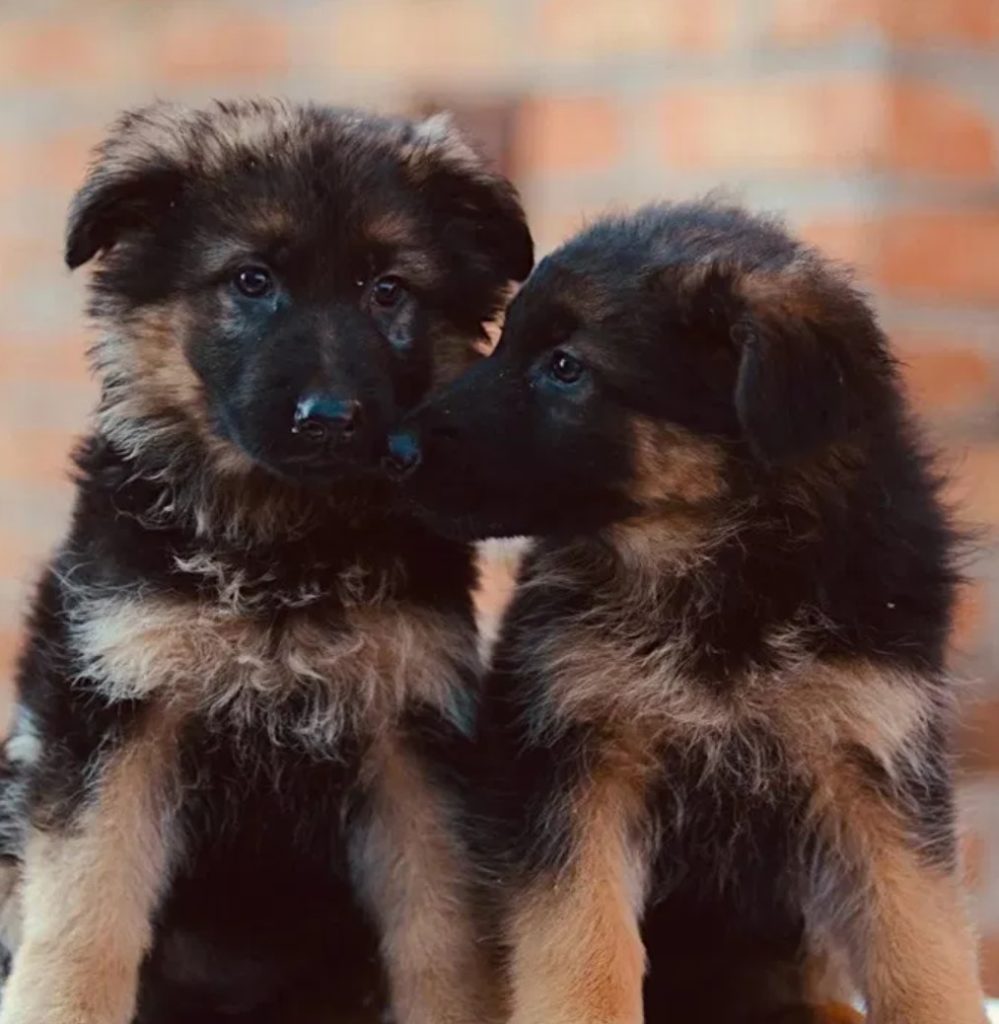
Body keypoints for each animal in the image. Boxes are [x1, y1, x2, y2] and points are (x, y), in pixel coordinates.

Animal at [0, 97, 536, 1024]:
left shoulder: (413, 736)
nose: (329, 420)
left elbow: (441, 938)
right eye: (251, 281)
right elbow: (84, 913)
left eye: (386, 290)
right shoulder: (113, 711)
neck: (285, 556)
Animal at [386, 201, 986, 1024]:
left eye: (565, 367)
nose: (393, 449)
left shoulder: (875, 760)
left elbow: (921, 940)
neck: (724, 572)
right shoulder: (578, 760)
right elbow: (582, 941)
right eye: (505, 340)